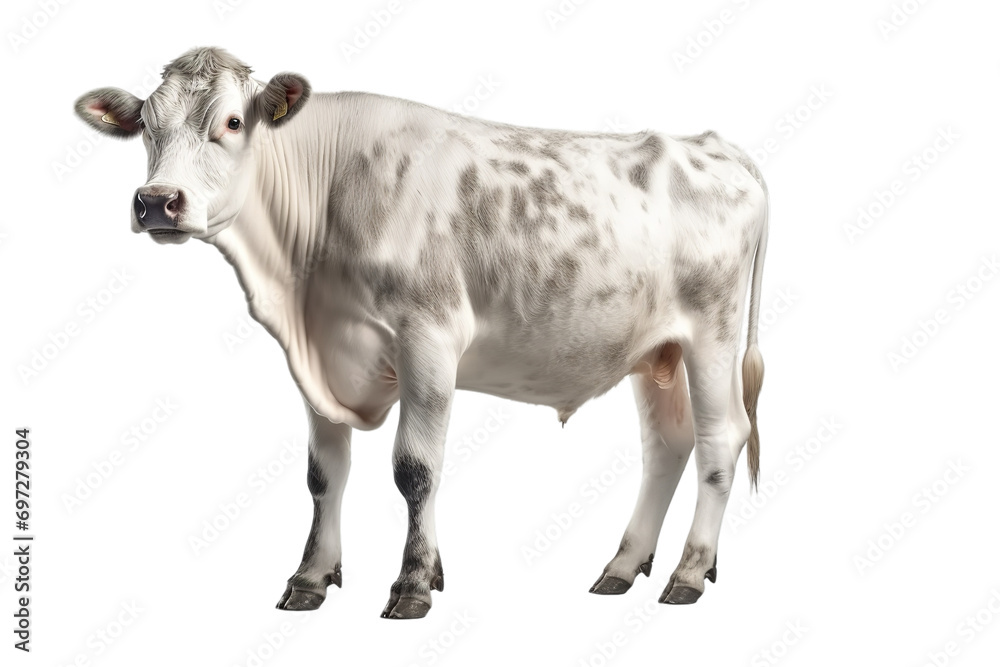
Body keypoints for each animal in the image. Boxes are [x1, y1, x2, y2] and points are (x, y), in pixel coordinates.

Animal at [74, 47, 768, 619]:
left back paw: (688, 572)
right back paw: (622, 567)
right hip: (658, 349)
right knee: (667, 445)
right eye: (146, 126)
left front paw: (411, 584)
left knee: (720, 440)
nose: (157, 201)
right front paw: (310, 578)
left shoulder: (428, 338)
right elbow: (323, 474)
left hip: (712, 334)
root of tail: (716, 146)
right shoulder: (316, 361)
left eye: (232, 123)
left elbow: (416, 469)